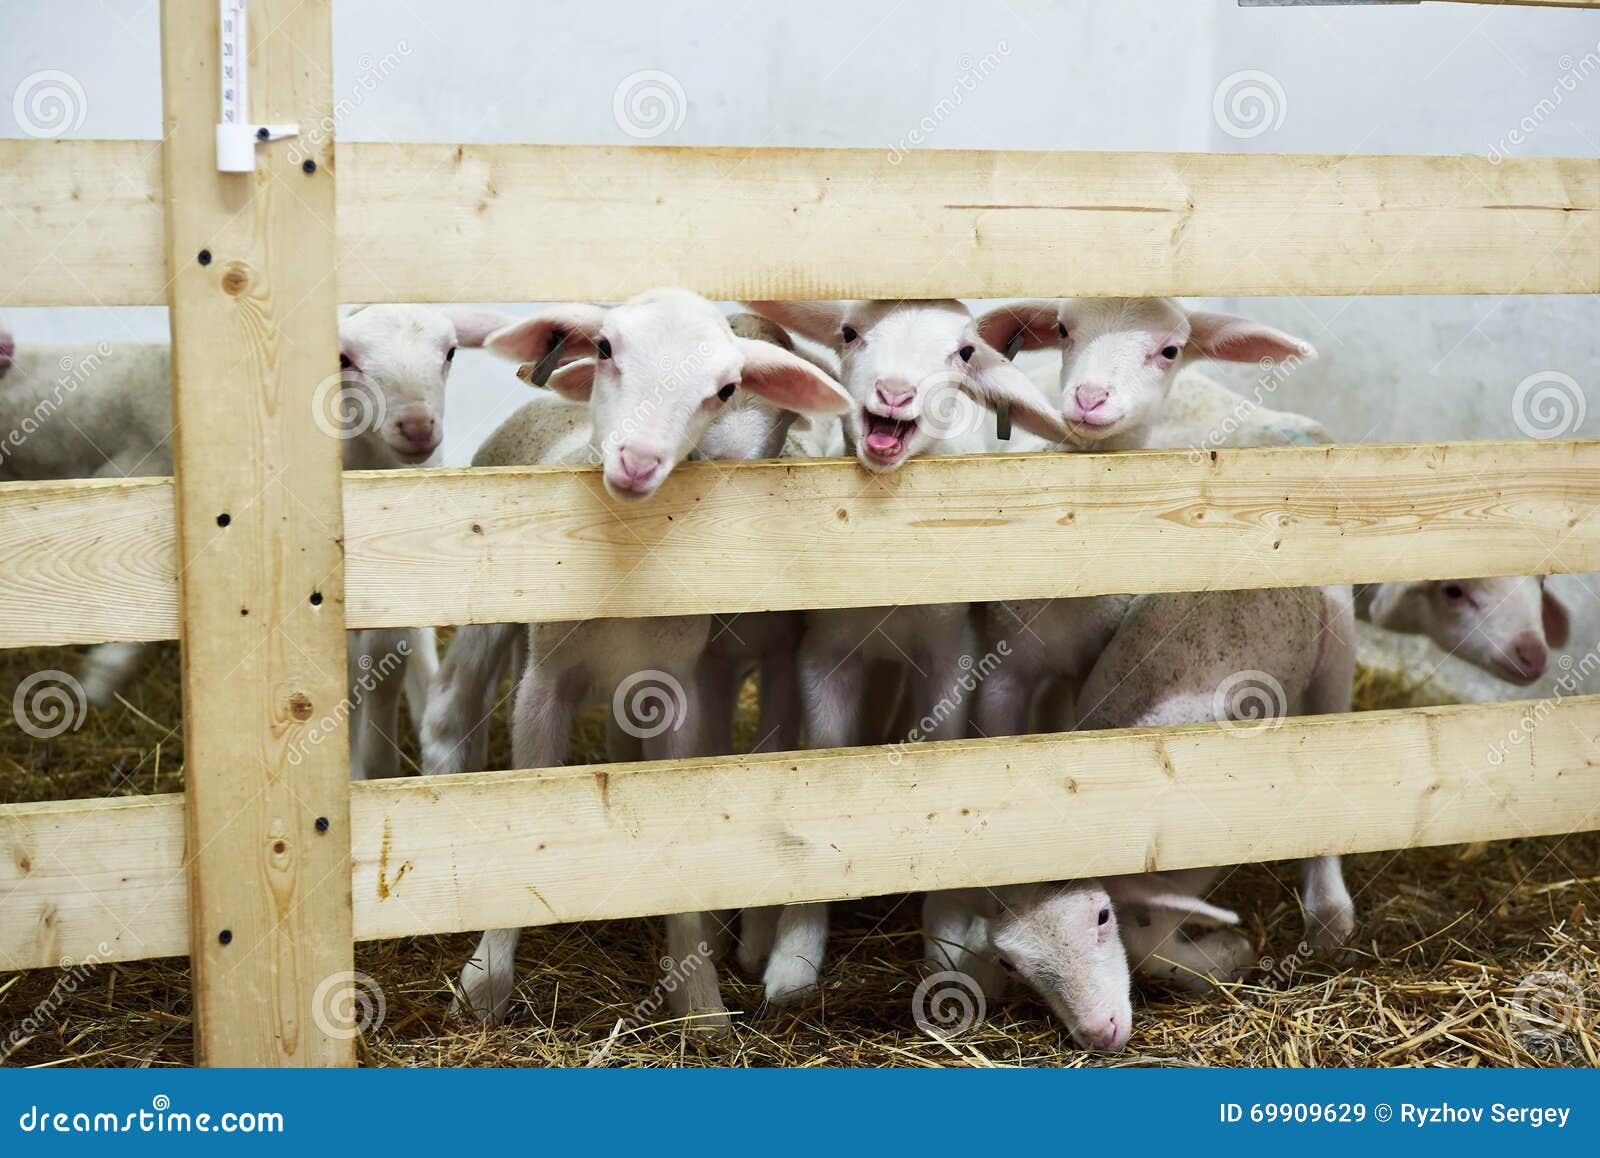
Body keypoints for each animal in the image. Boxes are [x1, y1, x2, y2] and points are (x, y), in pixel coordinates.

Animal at [0, 304, 513, 778]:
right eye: (344, 359)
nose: (417, 426)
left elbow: (389, 659)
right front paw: (360, 766)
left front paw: (381, 766)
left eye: (450, 352)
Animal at [423, 289, 853, 1032]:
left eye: (727, 386)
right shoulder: (543, 683)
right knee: (452, 709)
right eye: (605, 349)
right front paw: (486, 984)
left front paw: (701, 1002)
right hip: (489, 619)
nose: (638, 459)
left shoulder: (689, 685)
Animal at [734, 299, 1071, 1006]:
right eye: (849, 332)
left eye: (964, 352)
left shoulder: (953, 652)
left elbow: (938, 766)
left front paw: (945, 943)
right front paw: (793, 963)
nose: (894, 392)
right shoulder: (825, 654)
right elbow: (827, 766)